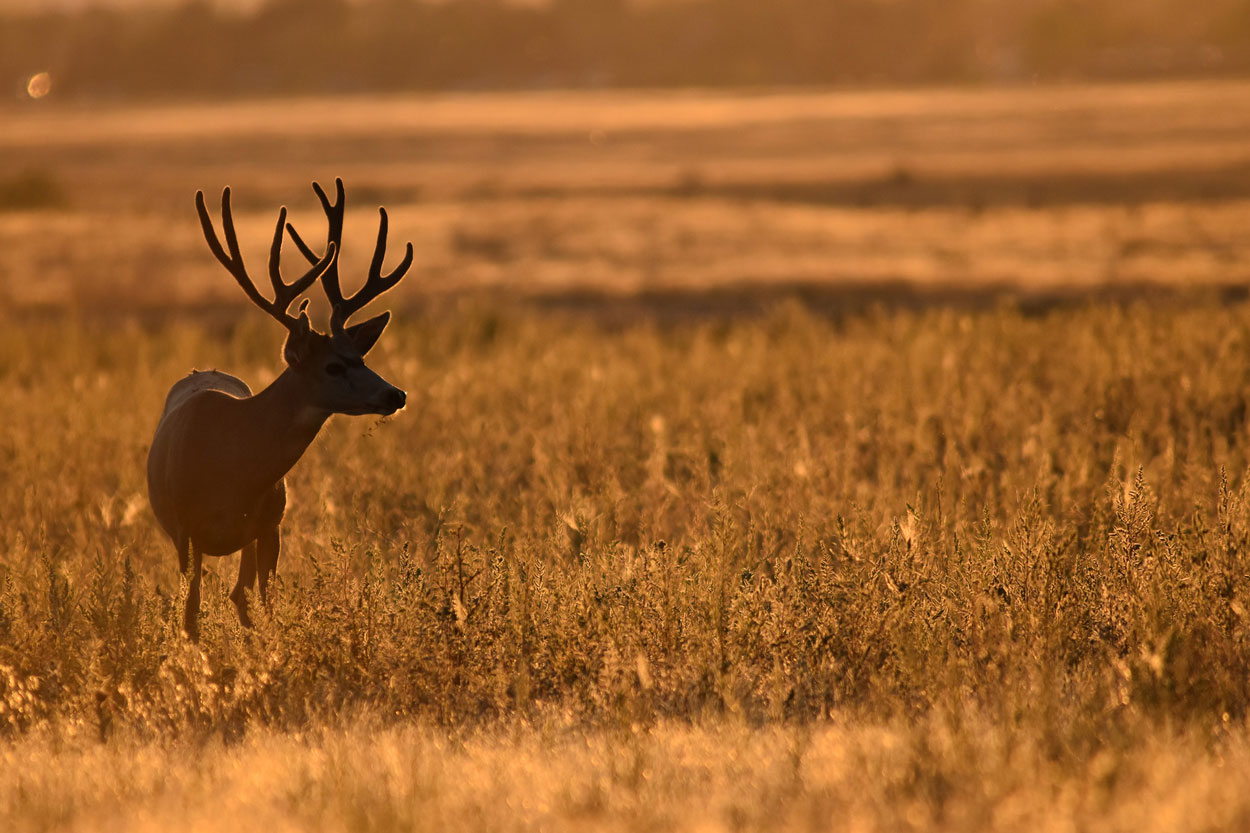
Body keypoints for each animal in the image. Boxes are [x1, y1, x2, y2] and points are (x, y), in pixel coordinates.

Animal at [147, 178, 411, 641]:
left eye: (360, 356)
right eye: (333, 365)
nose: (395, 394)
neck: (232, 470)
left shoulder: (272, 526)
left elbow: (264, 604)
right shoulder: (186, 531)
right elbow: (191, 615)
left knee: (240, 595)